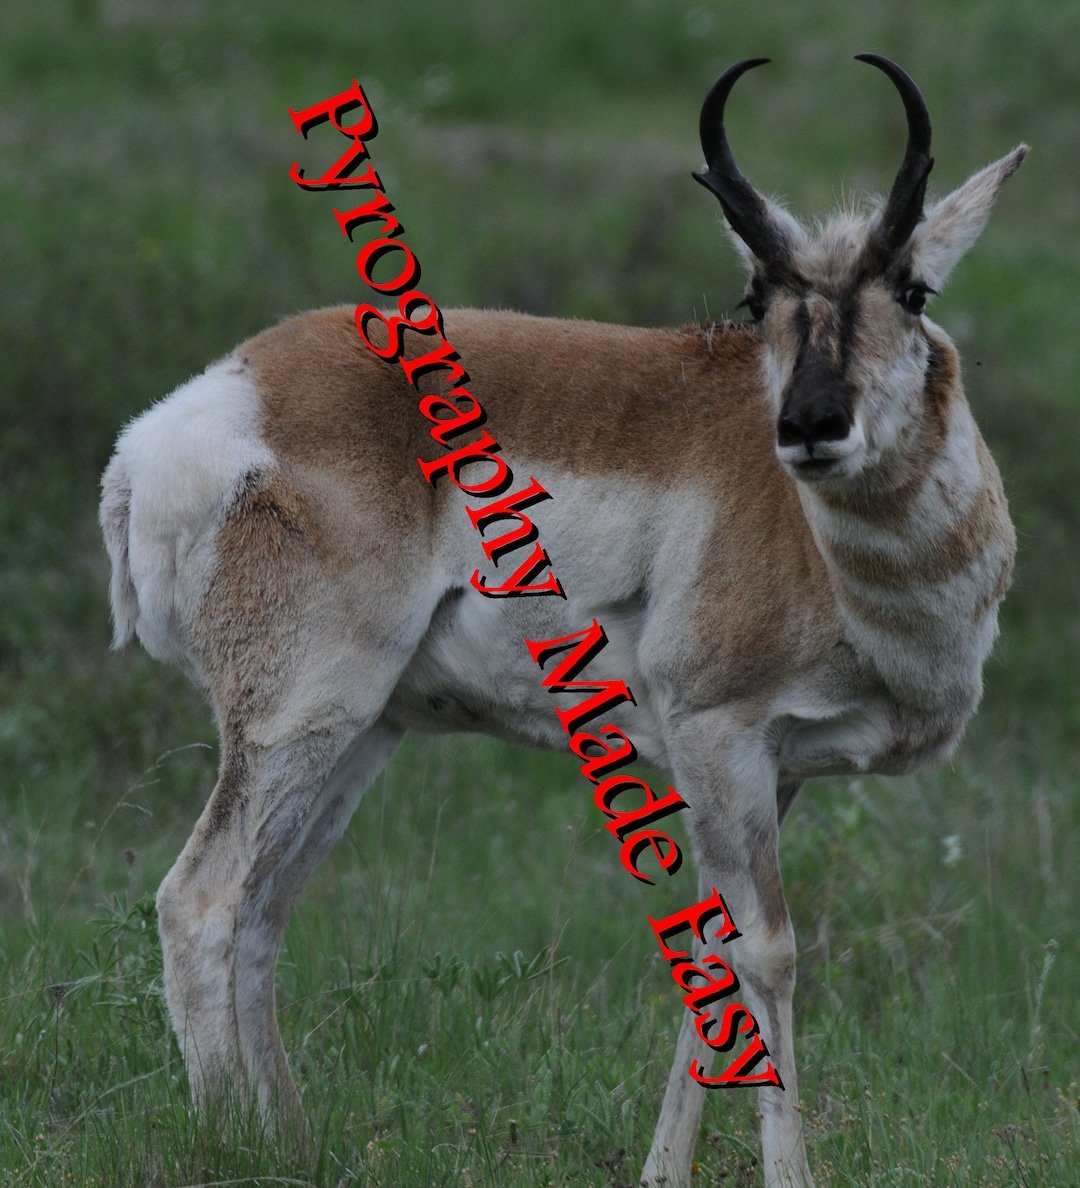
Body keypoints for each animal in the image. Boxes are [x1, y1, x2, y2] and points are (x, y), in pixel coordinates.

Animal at [99, 54, 1025, 1188]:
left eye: (913, 288)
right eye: (758, 297)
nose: (810, 426)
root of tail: (193, 416)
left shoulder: (778, 770)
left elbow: (710, 951)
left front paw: (661, 1174)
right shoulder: (721, 740)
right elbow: (766, 953)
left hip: (362, 734)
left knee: (264, 911)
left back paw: (294, 1143)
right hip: (300, 720)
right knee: (202, 902)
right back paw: (234, 1143)